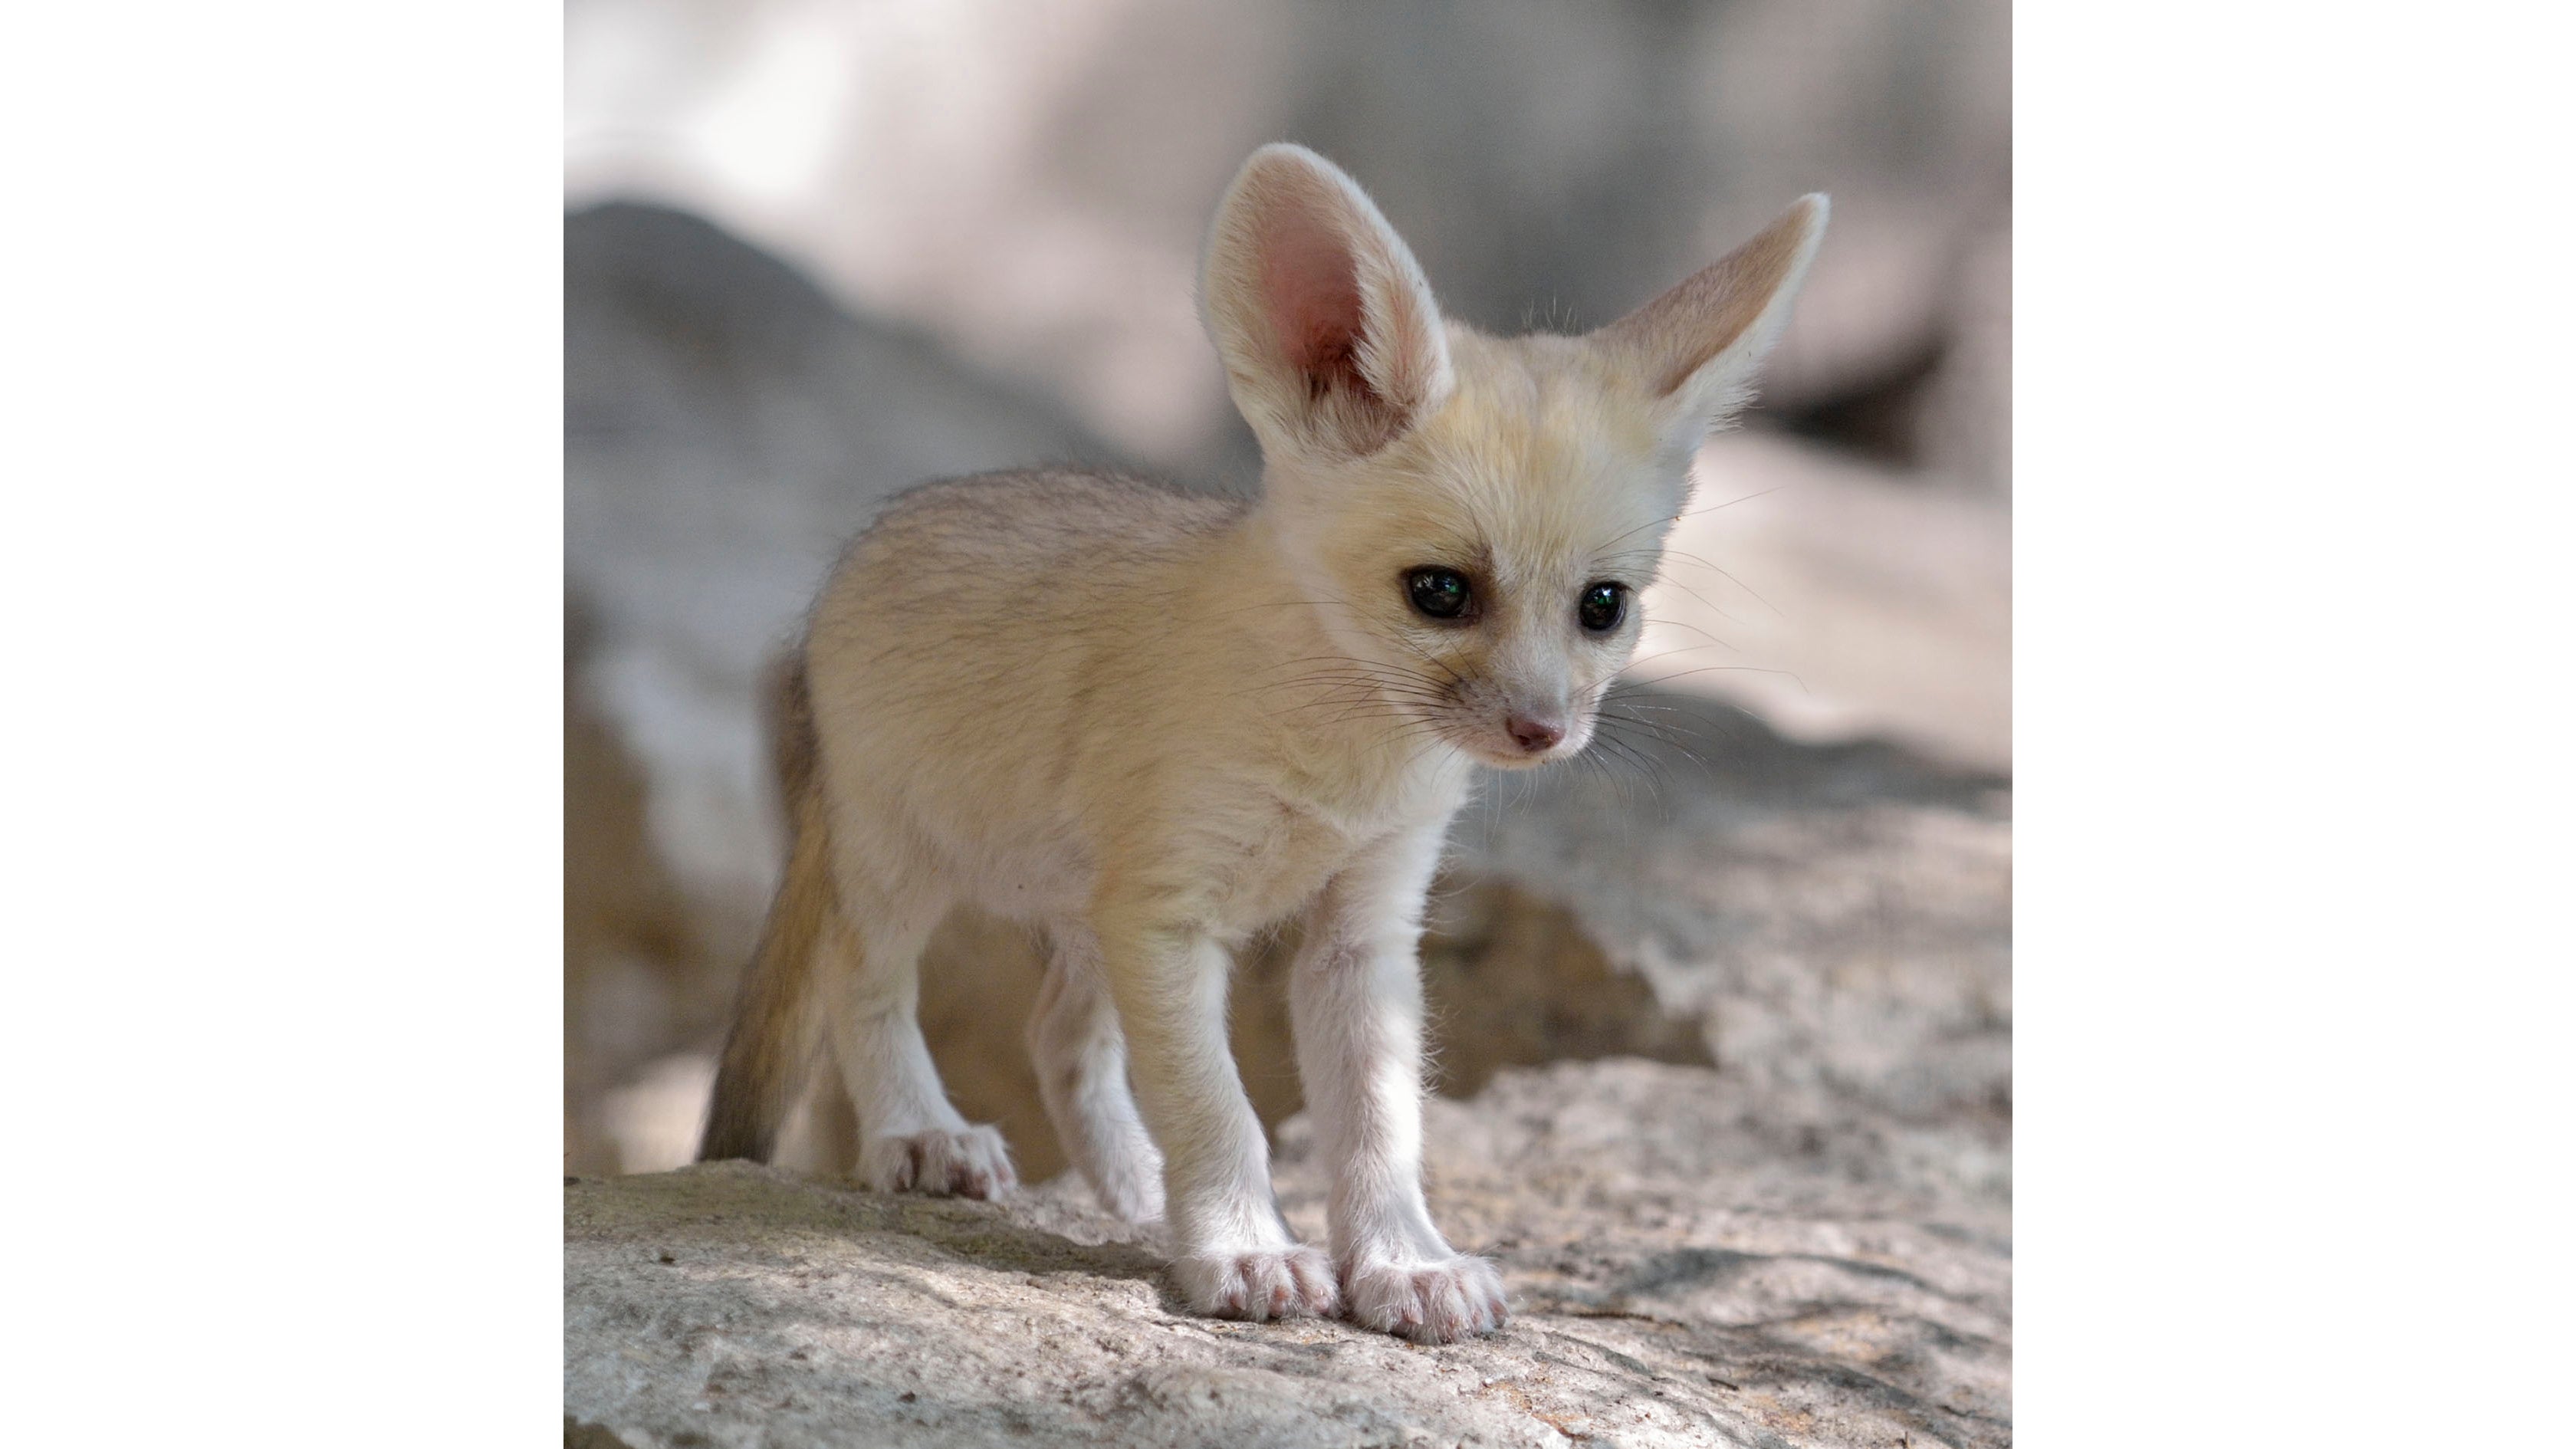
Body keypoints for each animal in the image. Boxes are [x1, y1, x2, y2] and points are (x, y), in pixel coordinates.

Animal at [695, 143, 1826, 1344]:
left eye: (1603, 607)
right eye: (1439, 592)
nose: (1544, 731)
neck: (1345, 762)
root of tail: (869, 540)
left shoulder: (1359, 930)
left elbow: (1380, 1122)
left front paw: (1404, 1262)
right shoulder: (1169, 917)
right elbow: (1219, 1104)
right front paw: (1245, 1247)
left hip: (1085, 920)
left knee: (1059, 1041)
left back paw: (1134, 1187)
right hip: (906, 867)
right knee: (865, 989)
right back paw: (922, 1134)